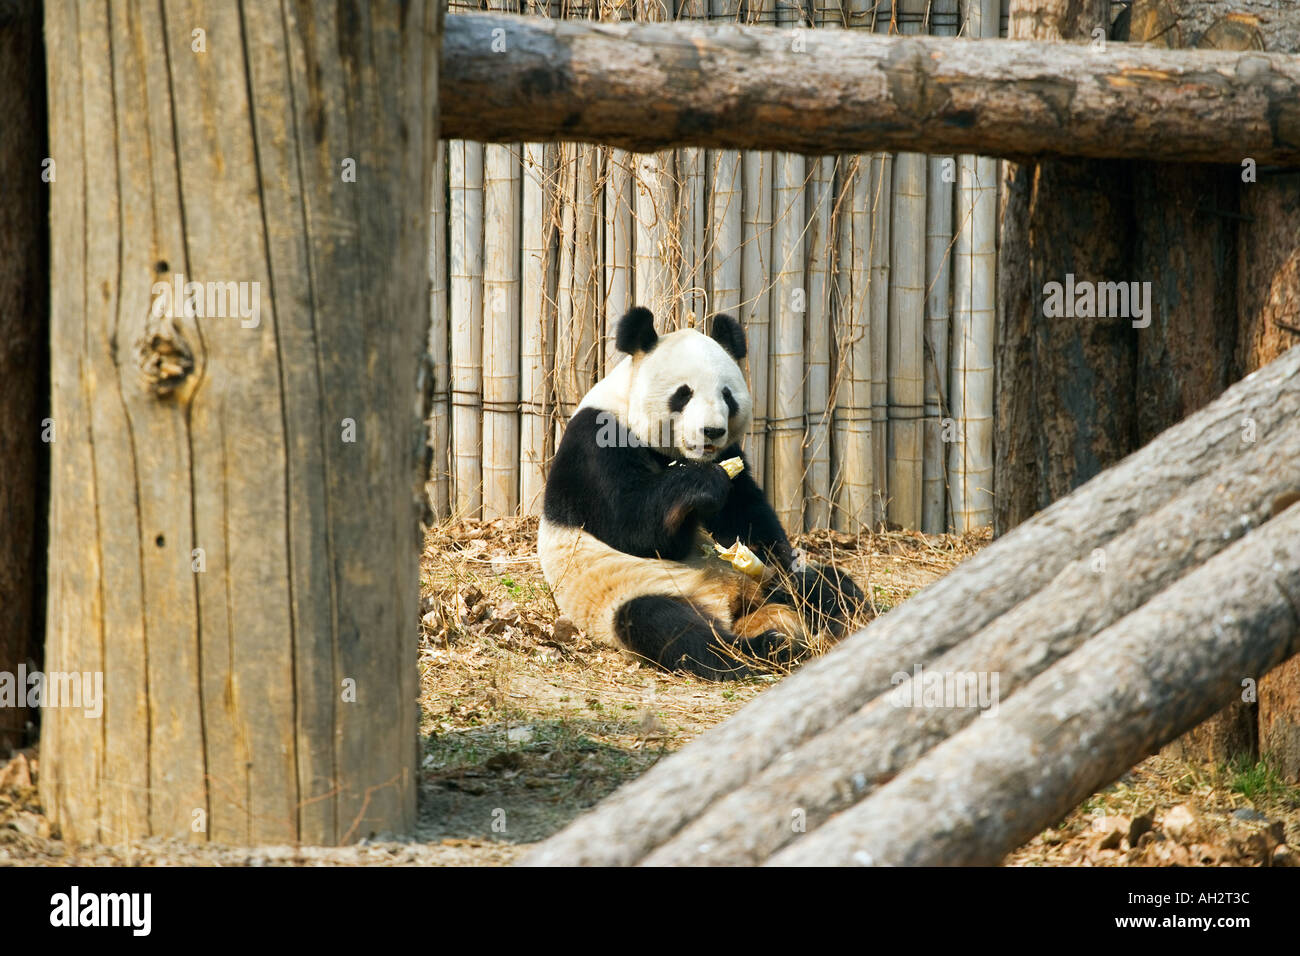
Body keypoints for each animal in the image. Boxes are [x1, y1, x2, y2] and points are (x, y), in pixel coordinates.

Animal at [538, 306, 865, 680]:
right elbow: (634, 527)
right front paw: (701, 484)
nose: (712, 431)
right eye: (683, 393)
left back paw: (831, 612)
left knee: (825, 583)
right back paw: (764, 648)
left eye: (727, 395)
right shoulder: (595, 443)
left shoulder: (730, 453)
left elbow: (745, 514)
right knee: (667, 626)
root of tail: (731, 604)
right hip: (634, 590)